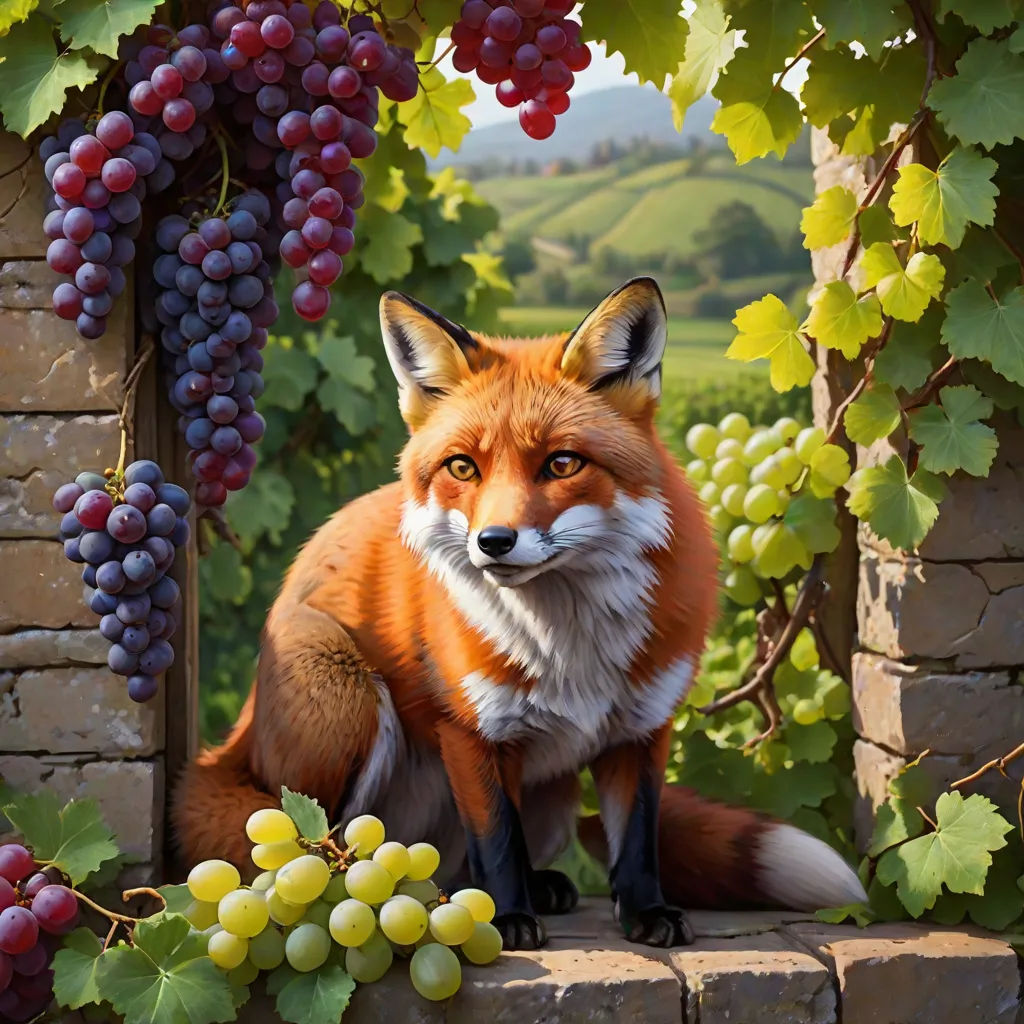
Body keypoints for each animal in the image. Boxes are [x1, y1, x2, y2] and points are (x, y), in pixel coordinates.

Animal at [173, 277, 866, 949]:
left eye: (561, 463)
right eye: (462, 467)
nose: (494, 542)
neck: (570, 644)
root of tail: (222, 753)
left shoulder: (642, 729)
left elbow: (637, 840)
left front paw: (646, 913)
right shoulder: (471, 730)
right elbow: (496, 840)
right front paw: (503, 919)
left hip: (552, 805)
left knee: (447, 863)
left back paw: (516, 888)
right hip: (343, 696)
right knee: (315, 843)